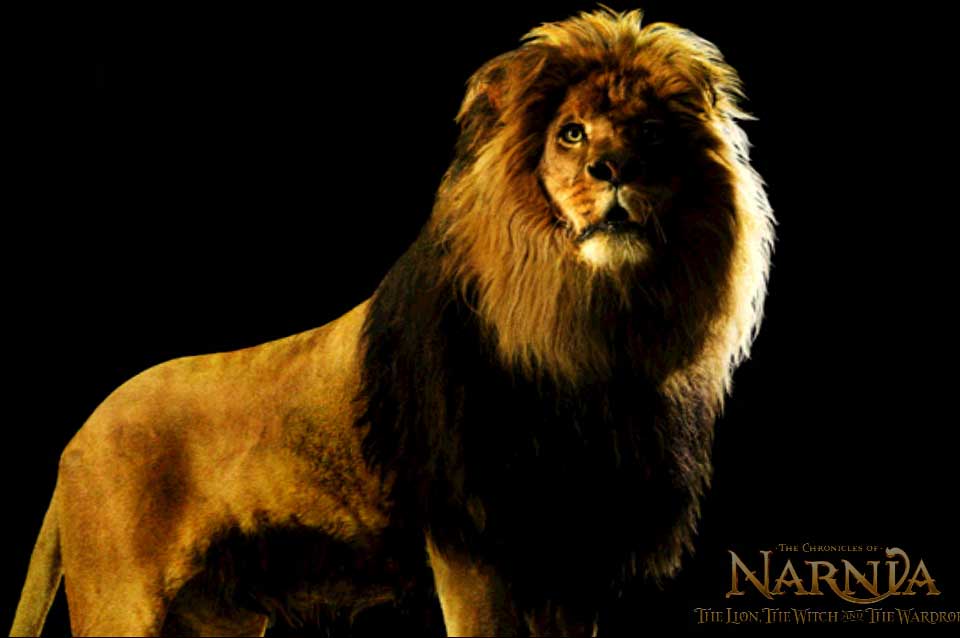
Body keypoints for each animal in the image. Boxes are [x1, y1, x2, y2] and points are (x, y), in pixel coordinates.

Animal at [11, 8, 773, 637]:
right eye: (571, 134)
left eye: (651, 133)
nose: (615, 168)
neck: (594, 326)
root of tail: (76, 438)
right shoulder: (472, 544)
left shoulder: (574, 559)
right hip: (120, 600)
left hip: (216, 619)